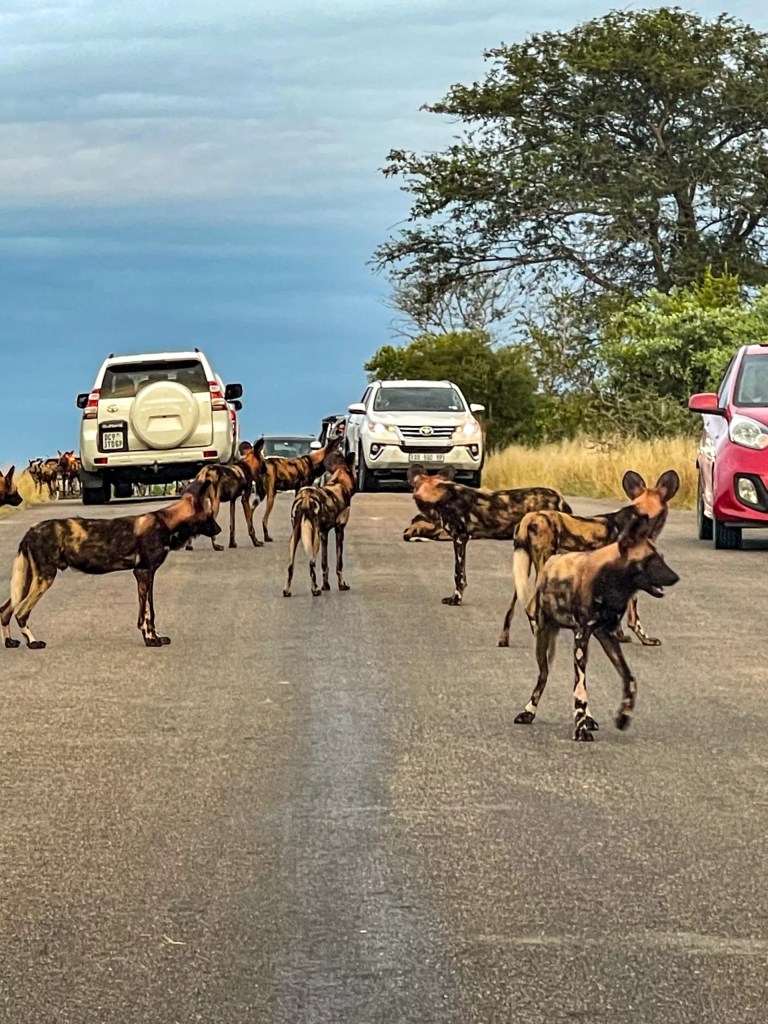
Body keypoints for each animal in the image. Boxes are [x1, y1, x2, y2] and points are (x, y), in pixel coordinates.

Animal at [1, 477, 221, 647]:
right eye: (210, 516)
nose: (219, 529)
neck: (167, 522)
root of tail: (30, 531)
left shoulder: (147, 575)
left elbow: (150, 612)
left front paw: (156, 636)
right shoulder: (143, 573)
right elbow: (146, 614)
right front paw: (150, 640)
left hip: (28, 581)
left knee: (5, 610)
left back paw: (11, 642)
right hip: (44, 579)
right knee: (21, 612)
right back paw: (33, 642)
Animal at [282, 450, 358, 598]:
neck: (339, 483)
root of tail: (305, 496)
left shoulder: (324, 533)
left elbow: (324, 564)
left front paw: (326, 586)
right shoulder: (339, 530)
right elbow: (339, 564)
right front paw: (342, 585)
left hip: (295, 535)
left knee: (290, 566)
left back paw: (287, 591)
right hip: (314, 538)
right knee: (311, 563)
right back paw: (315, 590)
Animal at [501, 468, 684, 643]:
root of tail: (530, 517)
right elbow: (633, 615)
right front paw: (643, 639)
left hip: (523, 569)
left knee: (513, 608)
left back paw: (505, 639)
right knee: (531, 606)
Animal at [514, 516, 684, 741]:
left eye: (661, 558)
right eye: (651, 559)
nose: (675, 577)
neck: (610, 582)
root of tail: (551, 561)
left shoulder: (606, 636)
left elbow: (629, 679)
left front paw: (623, 716)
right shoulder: (582, 637)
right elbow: (580, 691)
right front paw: (580, 729)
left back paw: (588, 718)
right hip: (544, 638)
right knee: (543, 676)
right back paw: (528, 712)